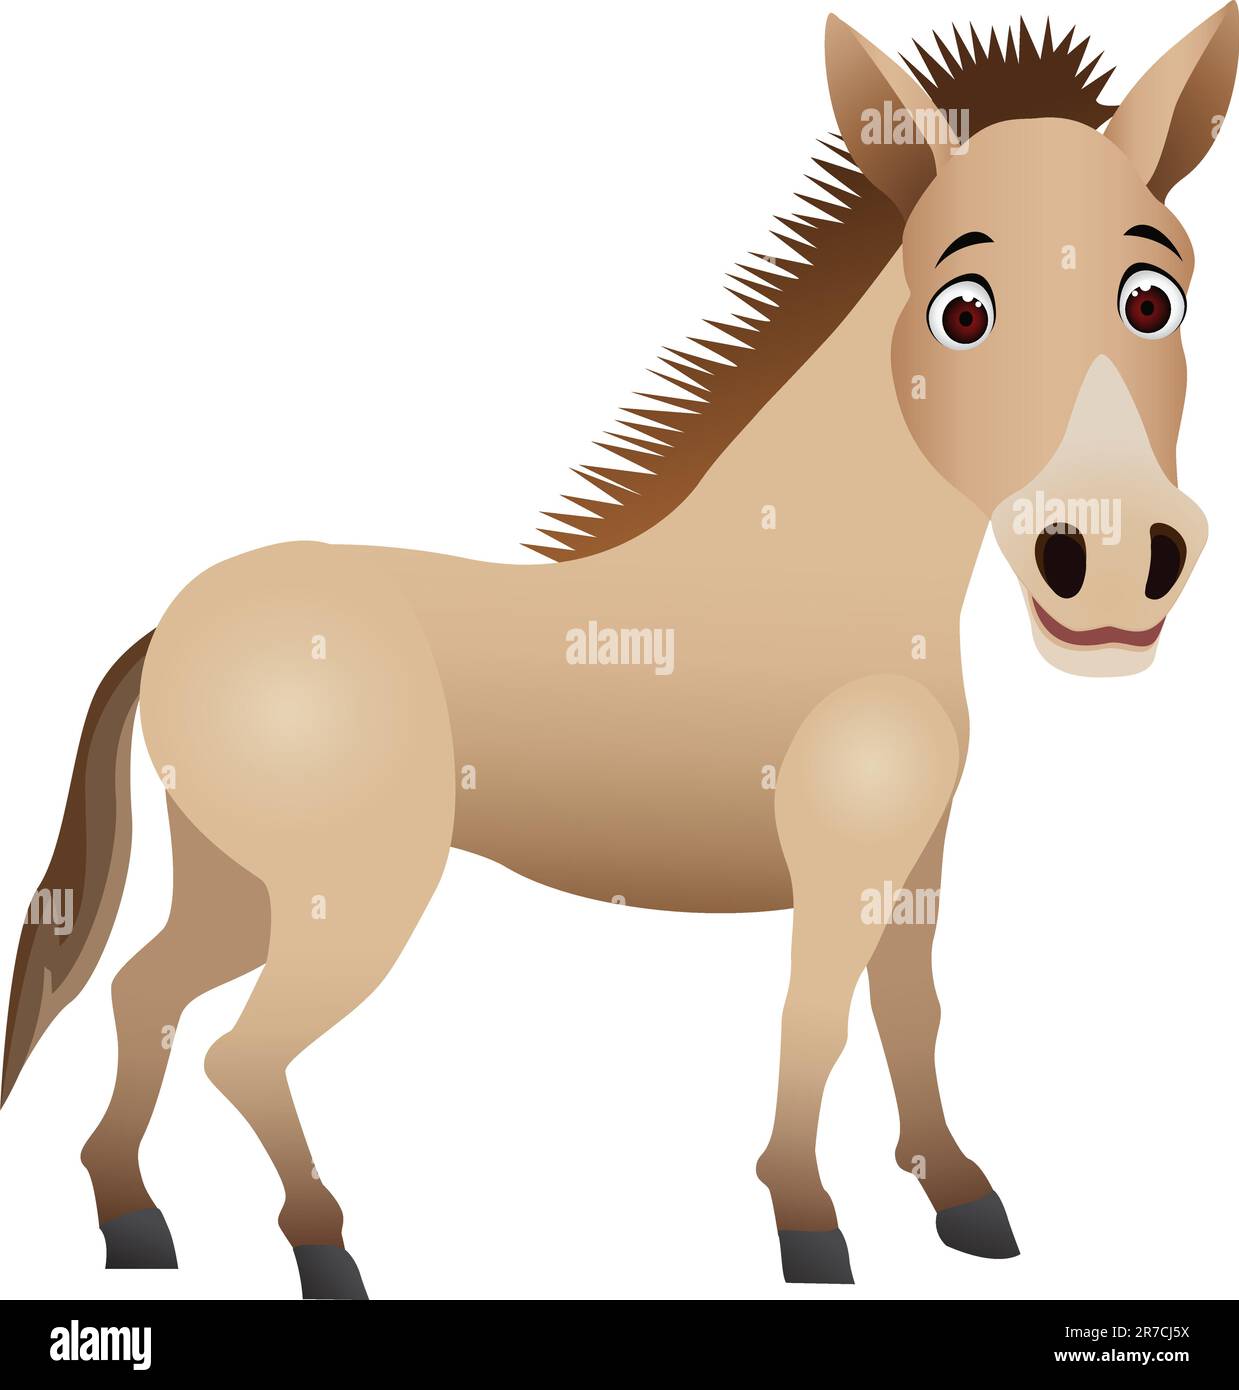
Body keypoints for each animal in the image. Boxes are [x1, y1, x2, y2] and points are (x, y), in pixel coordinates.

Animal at [3, 7, 1235, 1298]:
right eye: (963, 308)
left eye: (1156, 296)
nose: (1111, 561)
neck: (820, 576)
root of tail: (171, 622)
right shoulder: (839, 867)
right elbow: (814, 1020)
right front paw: (809, 1226)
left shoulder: (912, 862)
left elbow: (913, 1015)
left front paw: (964, 1199)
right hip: (347, 899)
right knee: (240, 1051)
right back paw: (322, 1248)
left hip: (242, 885)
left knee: (142, 996)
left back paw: (134, 1224)